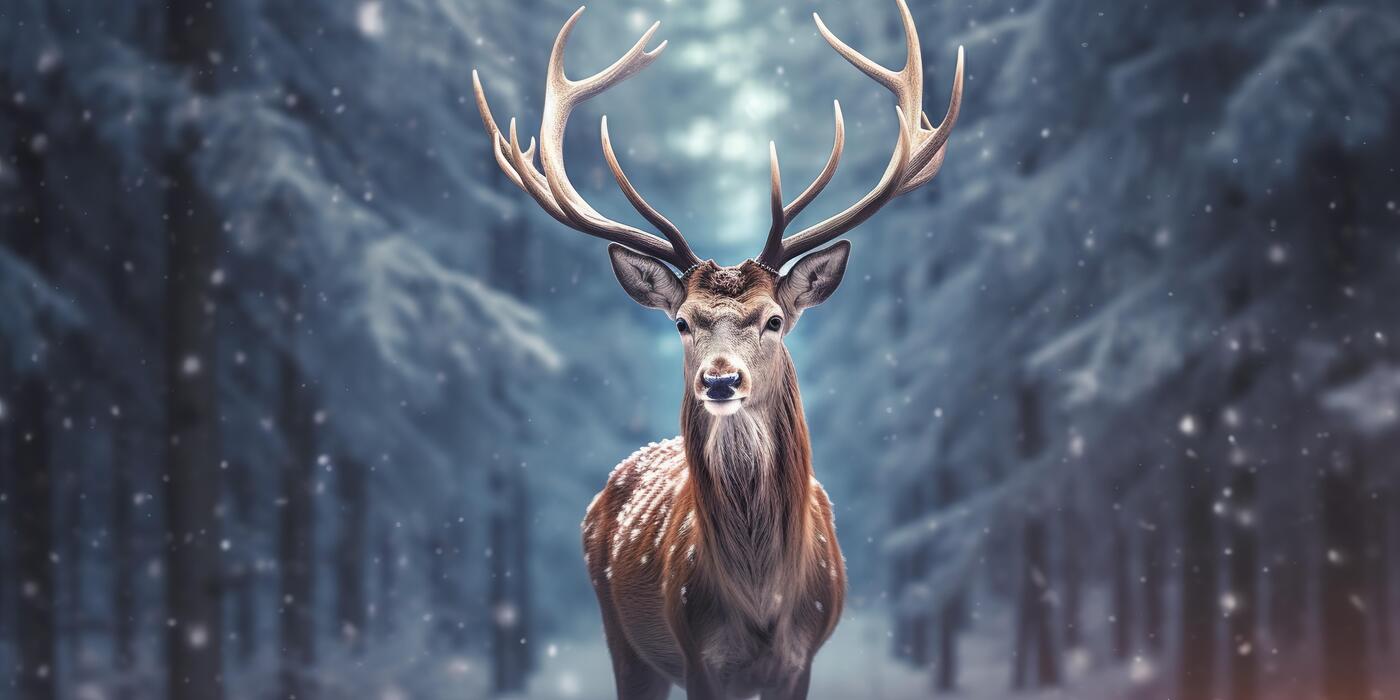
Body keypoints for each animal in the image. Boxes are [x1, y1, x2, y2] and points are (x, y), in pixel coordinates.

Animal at [472, 1, 961, 697]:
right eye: (682, 322)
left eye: (775, 319)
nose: (721, 381)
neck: (761, 609)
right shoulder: (696, 655)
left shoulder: (802, 660)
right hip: (623, 638)